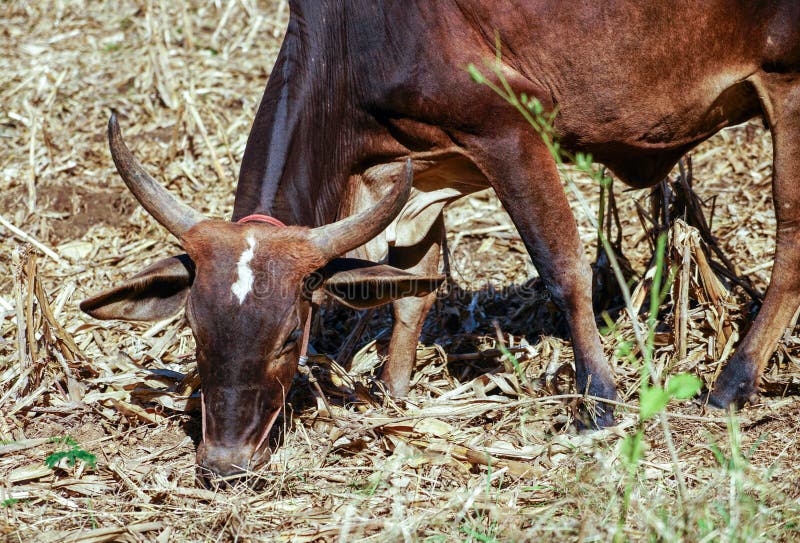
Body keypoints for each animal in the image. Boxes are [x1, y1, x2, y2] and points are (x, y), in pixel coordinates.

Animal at [82, 1, 800, 478]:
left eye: (290, 335)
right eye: (196, 330)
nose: (224, 460)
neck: (359, 41)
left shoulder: (509, 128)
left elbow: (561, 264)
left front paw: (598, 402)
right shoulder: (422, 177)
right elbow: (410, 293)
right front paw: (393, 398)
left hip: (787, 86)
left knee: (791, 238)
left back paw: (732, 383)